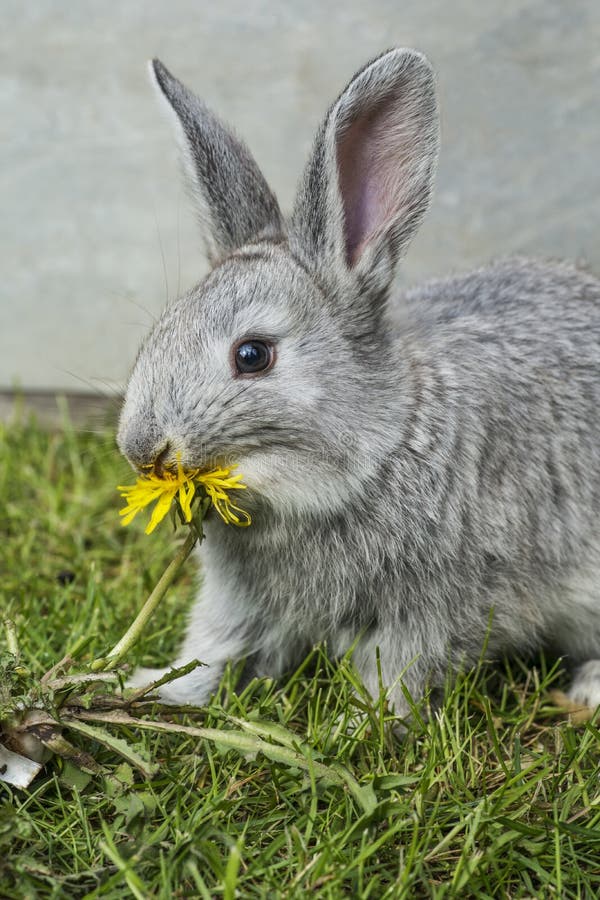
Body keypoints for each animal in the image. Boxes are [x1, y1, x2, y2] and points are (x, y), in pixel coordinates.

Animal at [118, 48, 600, 716]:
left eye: (252, 355)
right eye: (159, 330)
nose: (142, 448)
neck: (380, 450)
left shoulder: (431, 611)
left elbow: (394, 678)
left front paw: (356, 726)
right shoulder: (239, 606)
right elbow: (213, 651)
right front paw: (145, 686)